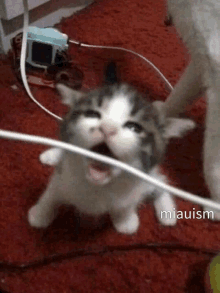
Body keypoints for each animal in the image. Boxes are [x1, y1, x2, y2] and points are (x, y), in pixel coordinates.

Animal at [27, 63, 194, 233]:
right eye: (92, 114)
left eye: (134, 127)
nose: (107, 128)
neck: (99, 186)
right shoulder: (63, 175)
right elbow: (52, 194)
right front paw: (40, 214)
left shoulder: (138, 184)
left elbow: (127, 204)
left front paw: (125, 220)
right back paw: (51, 154)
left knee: (160, 181)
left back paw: (167, 213)